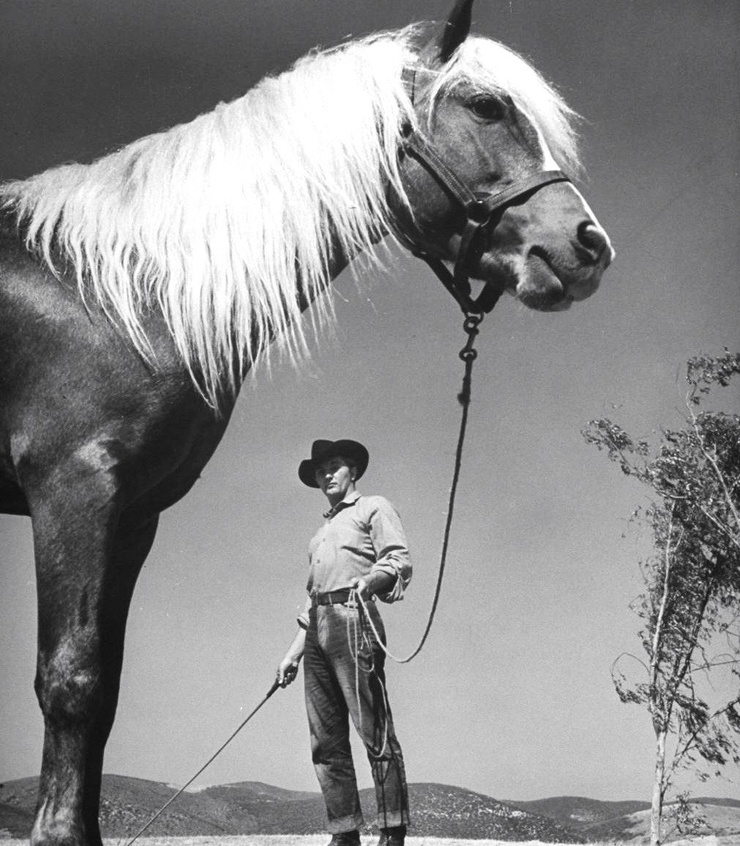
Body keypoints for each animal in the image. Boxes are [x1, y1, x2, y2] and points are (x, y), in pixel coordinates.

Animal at [0, 2, 613, 844]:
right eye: (487, 106)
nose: (590, 247)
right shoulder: (73, 491)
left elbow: (106, 696)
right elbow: (73, 680)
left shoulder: (132, 515)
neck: (115, 289)